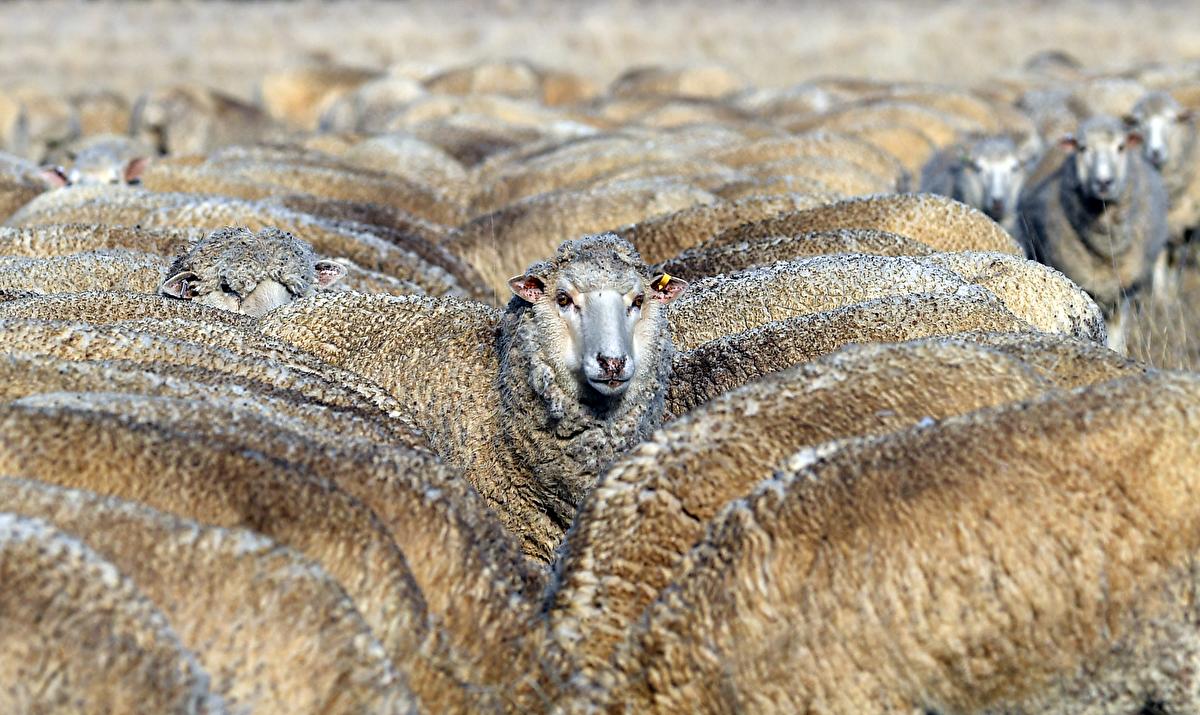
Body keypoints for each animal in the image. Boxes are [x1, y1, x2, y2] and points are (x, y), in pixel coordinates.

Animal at [1017, 114, 1169, 352]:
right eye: (1083, 148)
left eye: (1121, 147)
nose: (1104, 182)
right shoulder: (1085, 283)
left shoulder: (1124, 287)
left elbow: (1117, 328)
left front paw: (1117, 351)